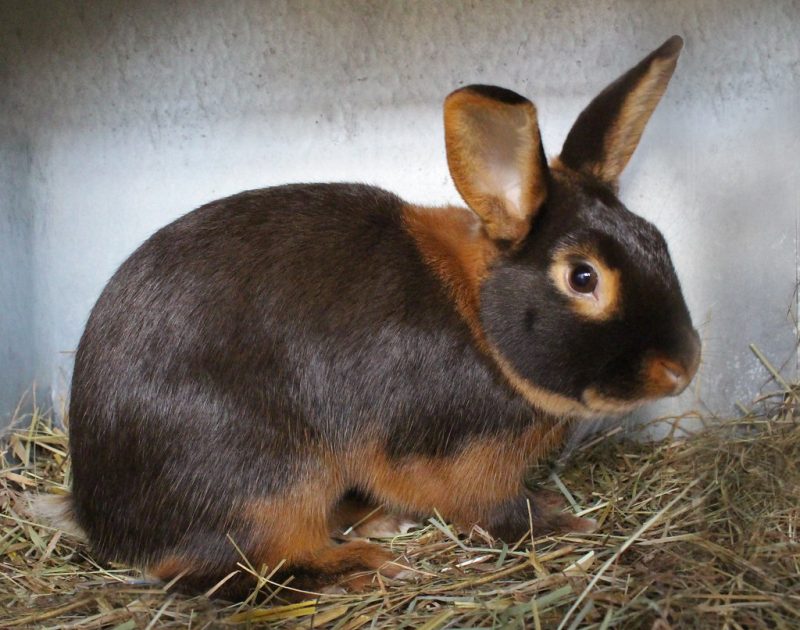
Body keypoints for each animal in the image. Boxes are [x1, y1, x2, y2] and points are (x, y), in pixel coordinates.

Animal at [45, 35, 699, 598]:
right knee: (240, 568)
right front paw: (569, 525)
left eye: (657, 239)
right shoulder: (465, 464)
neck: (483, 324)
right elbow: (498, 509)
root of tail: (100, 517)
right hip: (270, 484)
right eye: (582, 277)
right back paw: (364, 565)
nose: (683, 367)